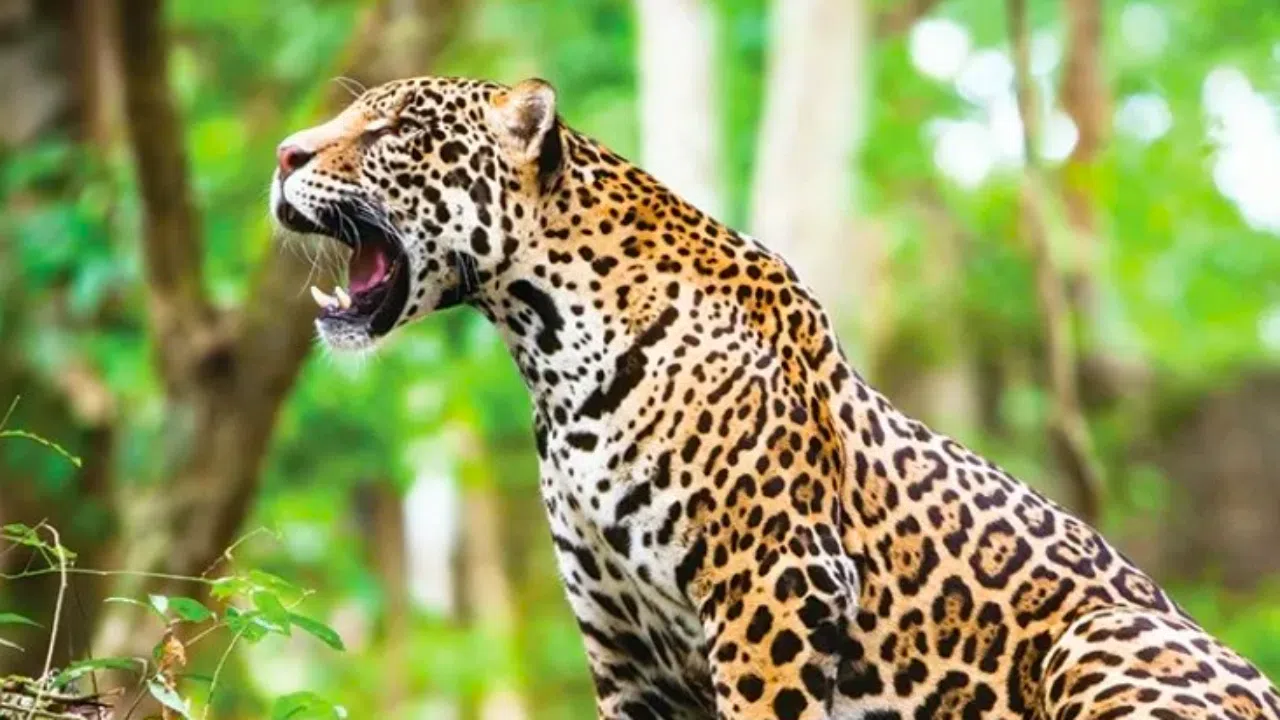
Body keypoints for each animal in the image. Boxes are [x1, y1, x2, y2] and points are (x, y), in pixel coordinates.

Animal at [269, 75, 1280, 719]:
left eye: (392, 130)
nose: (283, 154)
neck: (546, 347)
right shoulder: (624, 648)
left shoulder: (775, 586)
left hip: (1102, 635)